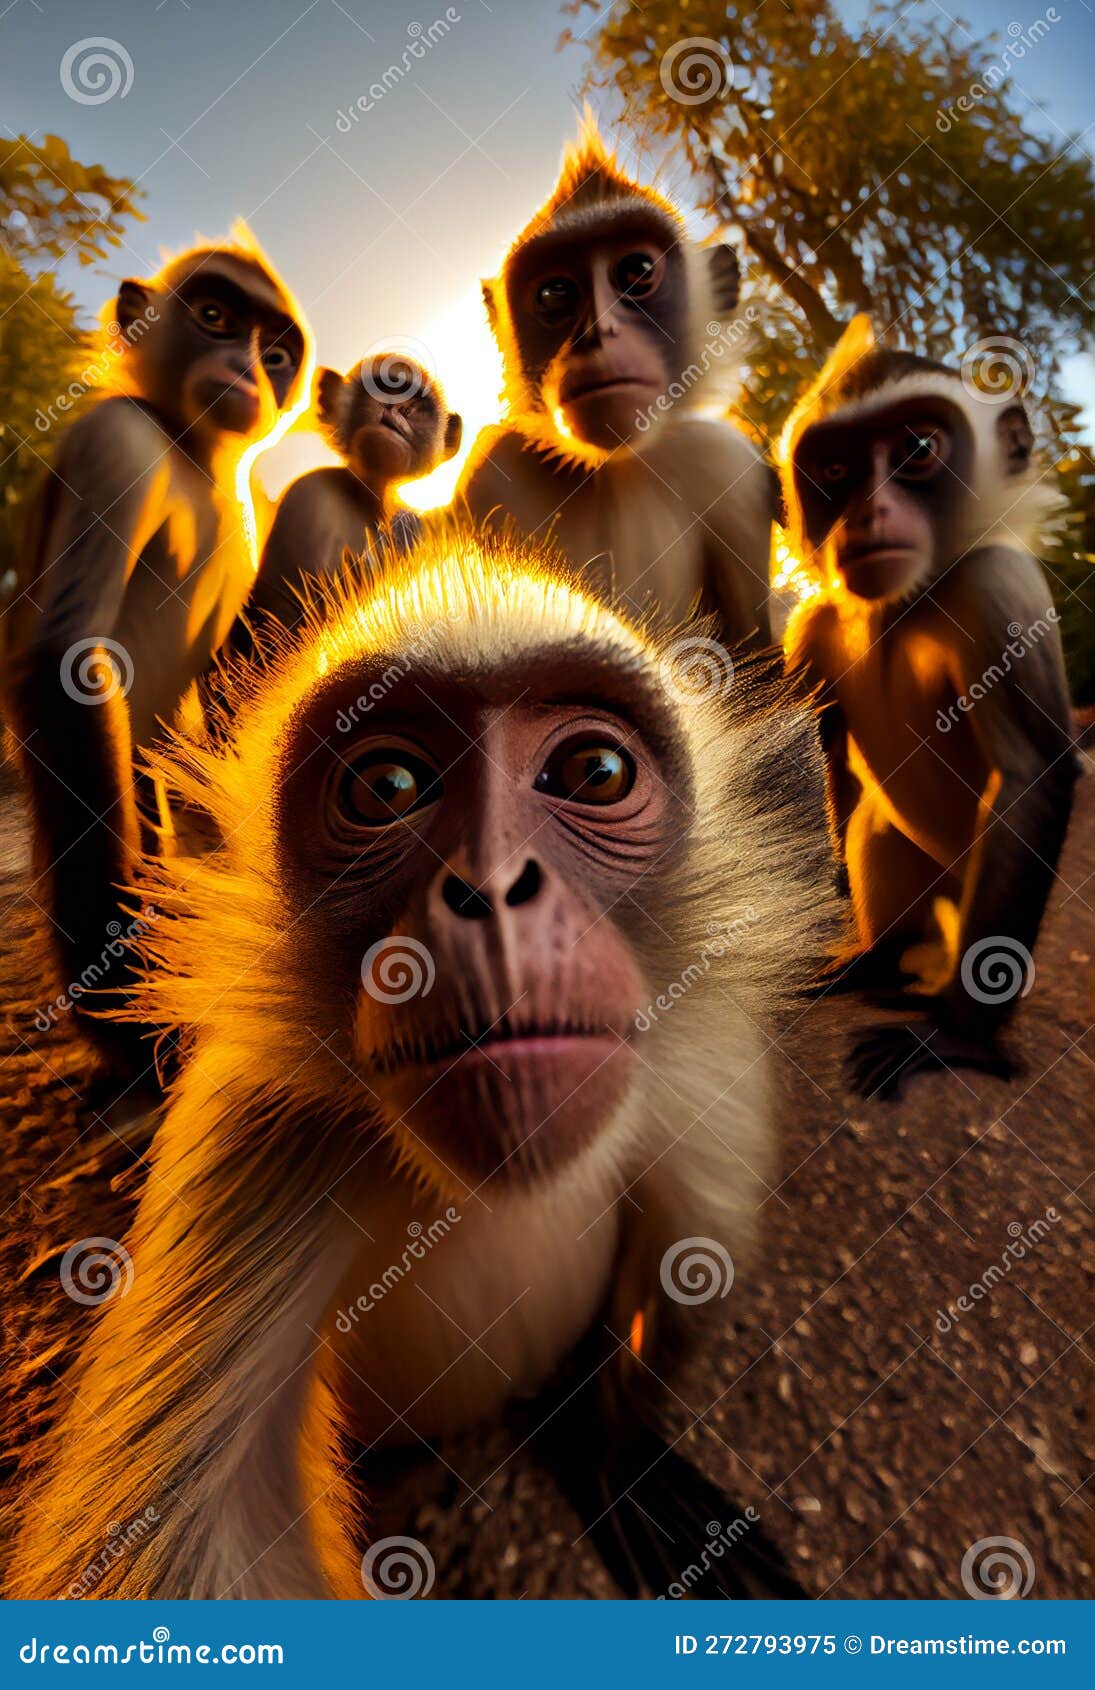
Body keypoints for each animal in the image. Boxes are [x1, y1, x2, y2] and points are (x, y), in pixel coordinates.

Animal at [1, 230, 312, 1074]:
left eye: (276, 353)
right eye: (213, 317)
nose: (247, 366)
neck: (191, 448)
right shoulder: (116, 441)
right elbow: (65, 657)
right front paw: (121, 1007)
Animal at [3, 528, 840, 1600]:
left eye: (595, 772)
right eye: (386, 789)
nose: (489, 889)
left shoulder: (706, 1052)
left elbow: (694, 1246)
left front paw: (615, 1452)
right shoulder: (263, 1132)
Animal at [459, 119, 773, 648]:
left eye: (637, 271)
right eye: (554, 293)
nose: (597, 333)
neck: (618, 467)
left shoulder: (728, 465)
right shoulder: (492, 469)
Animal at [779, 315, 1079, 1100]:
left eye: (917, 450)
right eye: (832, 471)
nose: (868, 512)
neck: (899, 609)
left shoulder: (997, 587)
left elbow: (1032, 776)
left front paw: (956, 1038)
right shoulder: (811, 625)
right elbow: (823, 748)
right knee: (877, 831)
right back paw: (874, 960)